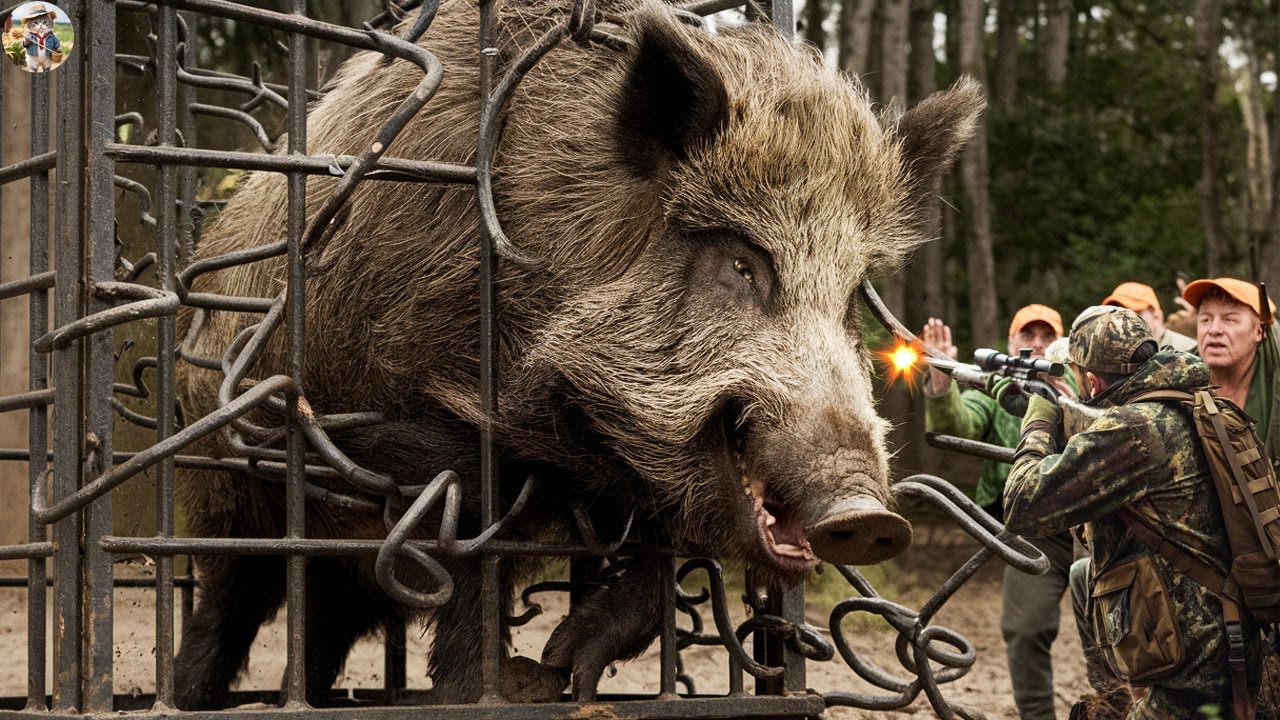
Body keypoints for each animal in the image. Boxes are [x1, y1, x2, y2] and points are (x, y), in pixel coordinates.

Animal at [171, 0, 983, 709]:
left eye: (850, 297)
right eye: (741, 264)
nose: (869, 516)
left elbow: (659, 552)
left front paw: (572, 671)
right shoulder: (378, 407)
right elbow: (474, 512)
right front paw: (515, 686)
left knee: (318, 633)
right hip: (231, 489)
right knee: (231, 600)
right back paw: (191, 697)